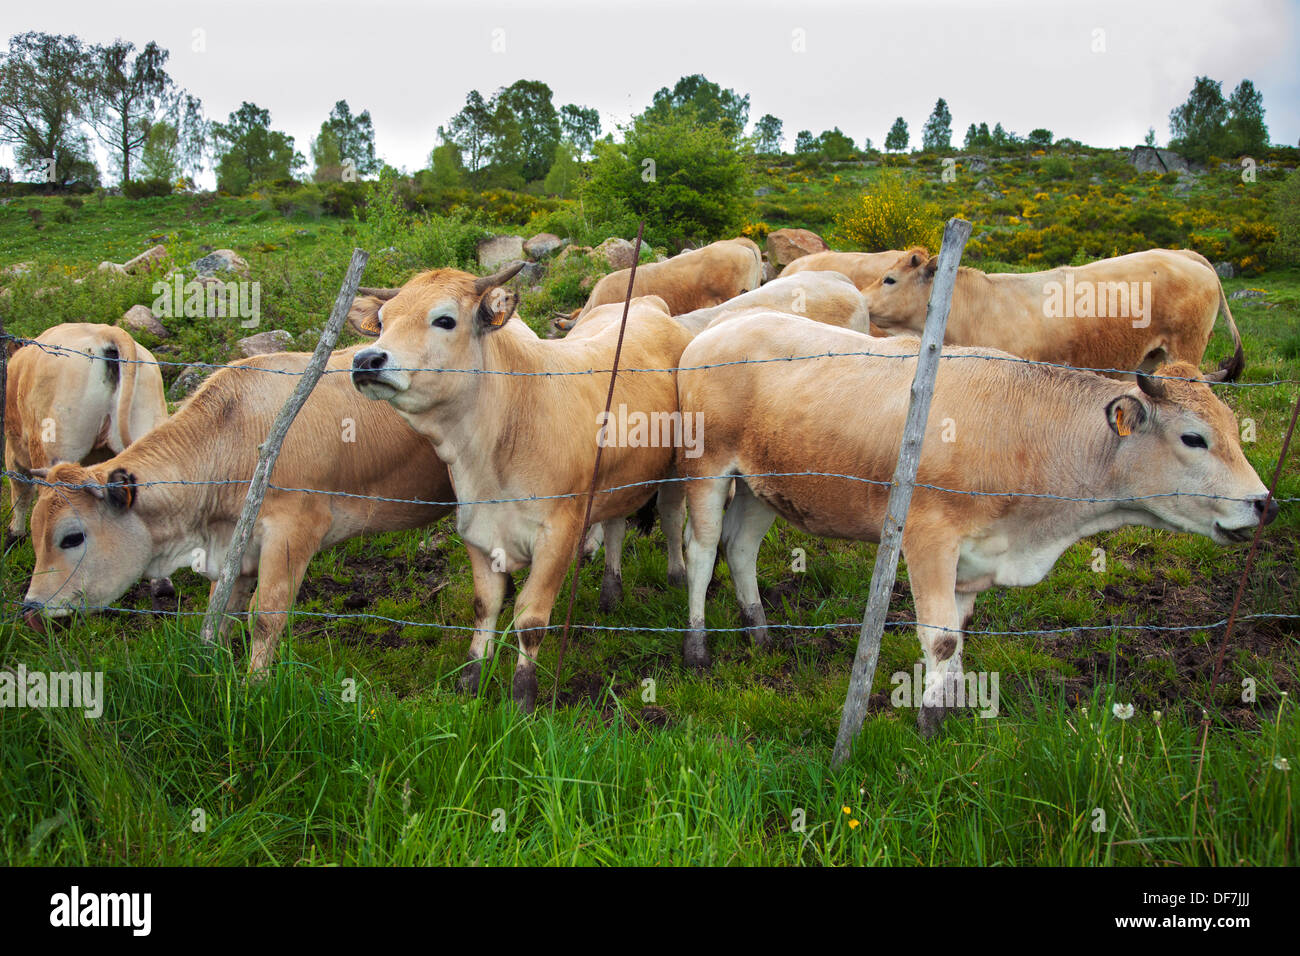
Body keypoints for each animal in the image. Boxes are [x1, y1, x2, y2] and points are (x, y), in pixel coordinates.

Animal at [20, 346, 456, 672]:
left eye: (72, 537)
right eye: (35, 538)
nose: (31, 609)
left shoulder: (294, 530)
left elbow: (265, 616)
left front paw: (254, 686)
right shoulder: (237, 545)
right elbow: (221, 612)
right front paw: (209, 663)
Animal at [349, 264, 694, 712]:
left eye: (445, 320)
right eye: (382, 322)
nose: (366, 359)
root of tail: (648, 304)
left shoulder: (558, 535)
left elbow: (530, 620)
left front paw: (523, 697)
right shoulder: (477, 531)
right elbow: (485, 606)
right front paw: (471, 680)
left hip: (674, 469)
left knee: (671, 519)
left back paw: (677, 575)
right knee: (616, 524)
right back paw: (611, 591)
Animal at [676, 314, 1277, 736]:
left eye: (1232, 428)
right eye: (1194, 438)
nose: (1264, 504)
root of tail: (720, 328)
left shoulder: (975, 557)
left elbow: (959, 634)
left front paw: (952, 709)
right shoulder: (928, 538)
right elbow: (940, 640)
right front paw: (925, 724)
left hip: (763, 485)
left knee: (740, 549)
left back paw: (759, 632)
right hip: (708, 469)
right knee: (702, 552)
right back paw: (698, 648)